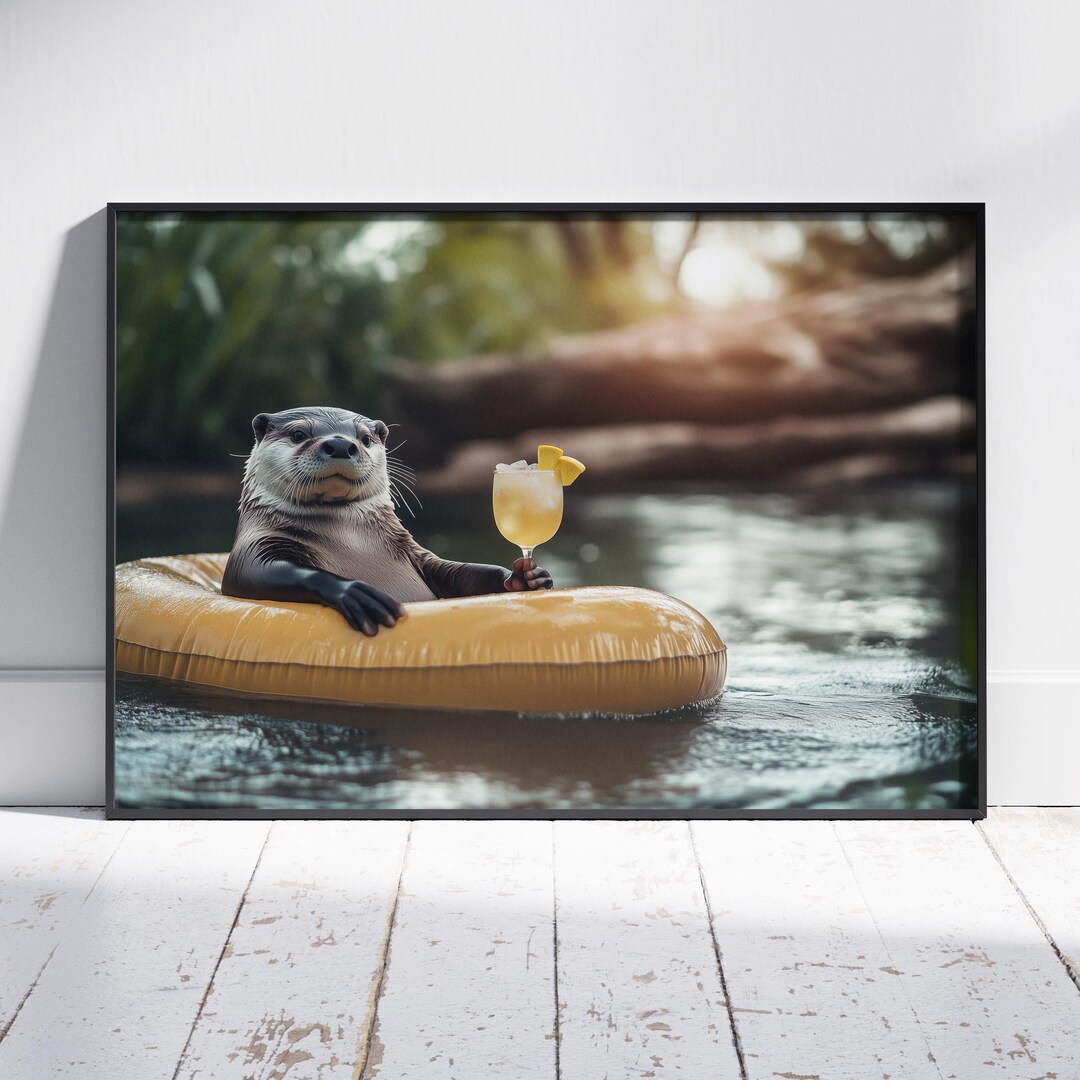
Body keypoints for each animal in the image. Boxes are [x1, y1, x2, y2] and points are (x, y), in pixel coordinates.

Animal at [221, 406, 553, 635]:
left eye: (365, 438)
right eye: (299, 434)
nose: (340, 444)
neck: (352, 543)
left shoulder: (417, 554)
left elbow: (460, 572)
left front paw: (524, 577)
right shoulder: (254, 549)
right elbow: (259, 574)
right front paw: (356, 593)